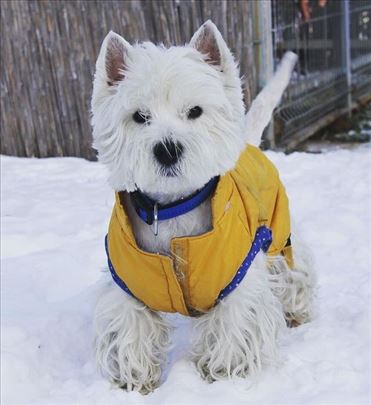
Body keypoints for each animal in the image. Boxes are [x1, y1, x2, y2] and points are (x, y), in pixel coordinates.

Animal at [91, 20, 318, 392]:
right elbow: (130, 329)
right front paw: (134, 382)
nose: (167, 149)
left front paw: (222, 374)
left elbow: (234, 326)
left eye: (195, 111)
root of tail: (246, 144)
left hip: (279, 234)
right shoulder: (127, 284)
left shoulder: (238, 278)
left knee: (295, 271)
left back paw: (298, 312)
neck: (171, 210)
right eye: (139, 116)